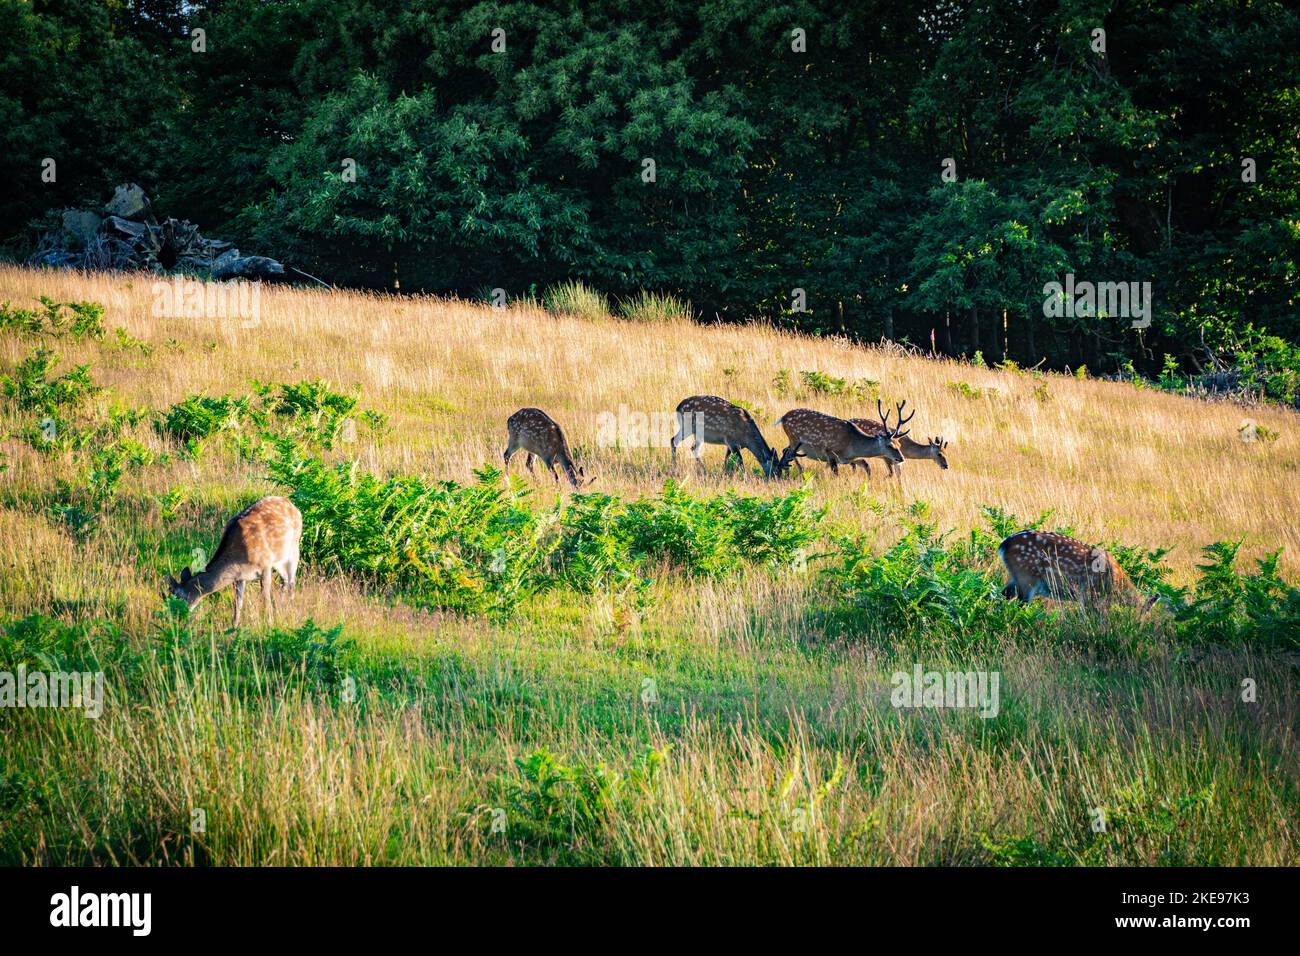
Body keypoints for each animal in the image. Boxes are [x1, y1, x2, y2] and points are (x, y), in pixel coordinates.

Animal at [167, 495, 302, 628]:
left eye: (176, 597)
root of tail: (293, 506)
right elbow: (238, 603)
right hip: (279, 559)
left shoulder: (265, 565)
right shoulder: (239, 577)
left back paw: (290, 608)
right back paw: (282, 607)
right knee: (285, 579)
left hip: (294, 548)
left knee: (292, 581)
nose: (173, 621)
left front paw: (270, 624)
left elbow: (265, 598)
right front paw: (234, 627)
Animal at [775, 399, 913, 475]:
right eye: (889, 445)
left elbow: (867, 466)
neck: (851, 445)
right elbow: (836, 474)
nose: (901, 458)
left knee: (784, 451)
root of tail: (782, 417)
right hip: (794, 438)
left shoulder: (851, 458)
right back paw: (800, 471)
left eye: (899, 444)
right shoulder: (830, 452)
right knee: (788, 453)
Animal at [998, 530, 1158, 613]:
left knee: (1003, 595)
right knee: (1019, 604)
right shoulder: (1089, 594)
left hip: (1016, 577)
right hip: (1027, 577)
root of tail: (1004, 544)